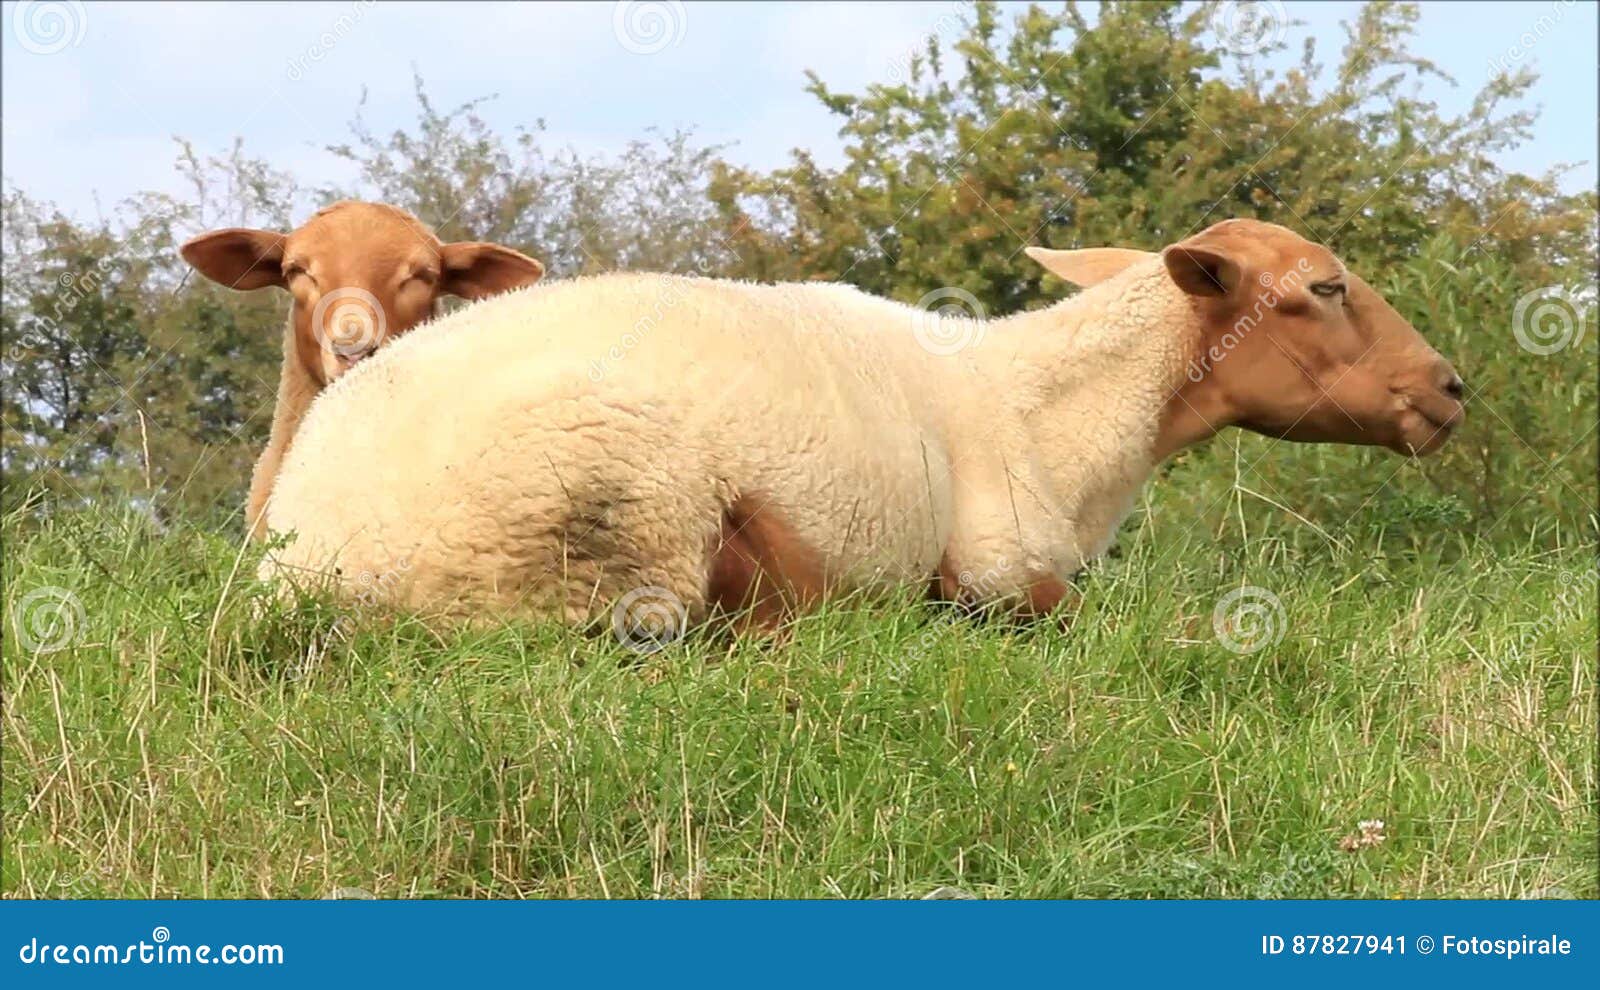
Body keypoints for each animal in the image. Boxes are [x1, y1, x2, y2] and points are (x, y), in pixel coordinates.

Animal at [258, 219, 1465, 634]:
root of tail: (297, 557)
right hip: (620, 515)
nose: (1450, 388)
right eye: (1326, 287)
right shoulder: (1003, 570)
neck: (1048, 413)